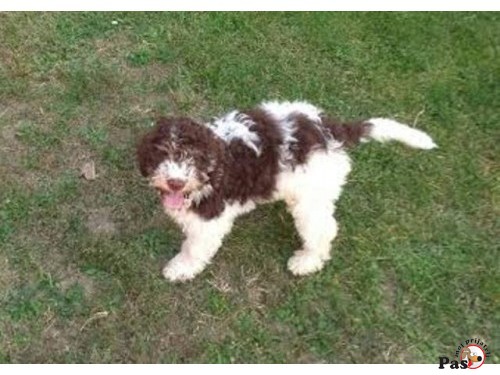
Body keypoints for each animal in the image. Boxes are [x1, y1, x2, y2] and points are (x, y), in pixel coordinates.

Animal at [137, 100, 438, 282]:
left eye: (194, 158)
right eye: (162, 153)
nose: (175, 182)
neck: (217, 160)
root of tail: (332, 130)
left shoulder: (210, 219)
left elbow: (194, 247)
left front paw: (180, 268)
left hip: (312, 198)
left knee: (323, 230)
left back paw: (307, 261)